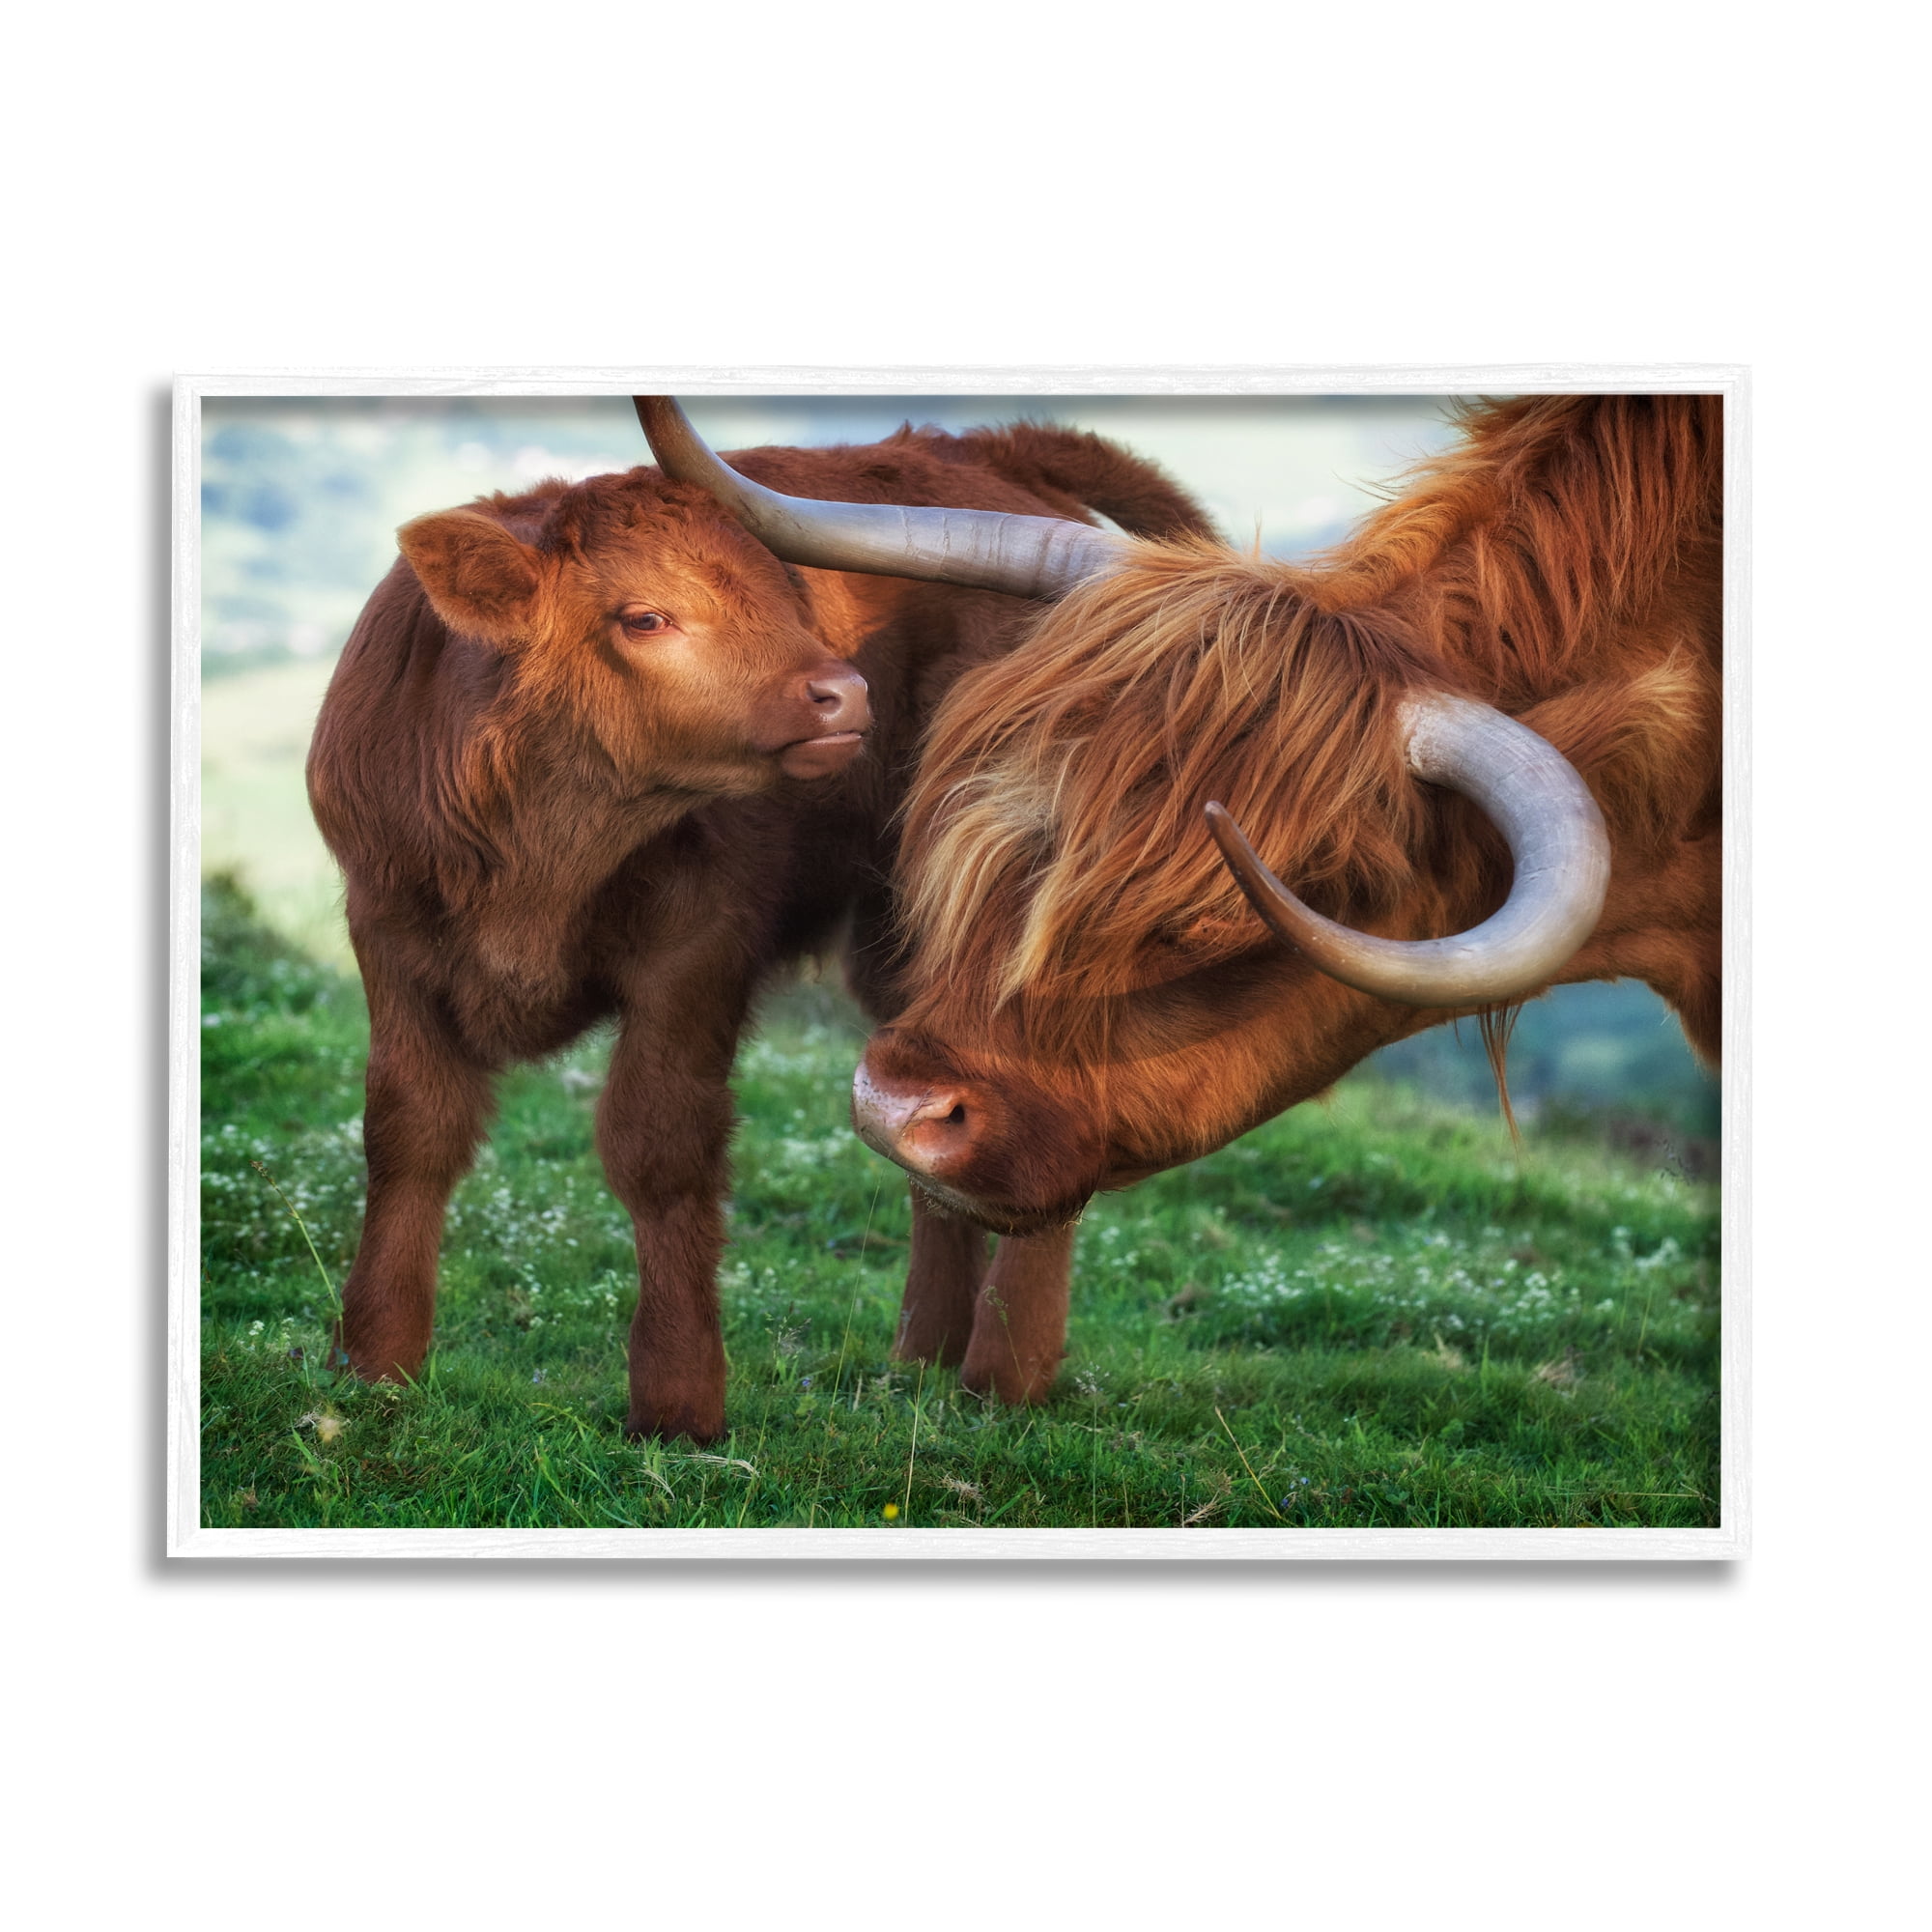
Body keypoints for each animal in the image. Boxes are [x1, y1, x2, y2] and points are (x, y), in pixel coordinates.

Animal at [305, 400, 1210, 1441]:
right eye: (644, 616)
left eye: (785, 598)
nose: (844, 691)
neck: (539, 851)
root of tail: (981, 448)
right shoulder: (388, 934)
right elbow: (408, 1132)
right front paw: (374, 1364)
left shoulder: (696, 949)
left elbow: (658, 1147)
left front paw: (677, 1399)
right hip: (896, 932)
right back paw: (924, 1355)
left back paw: (1006, 1372)